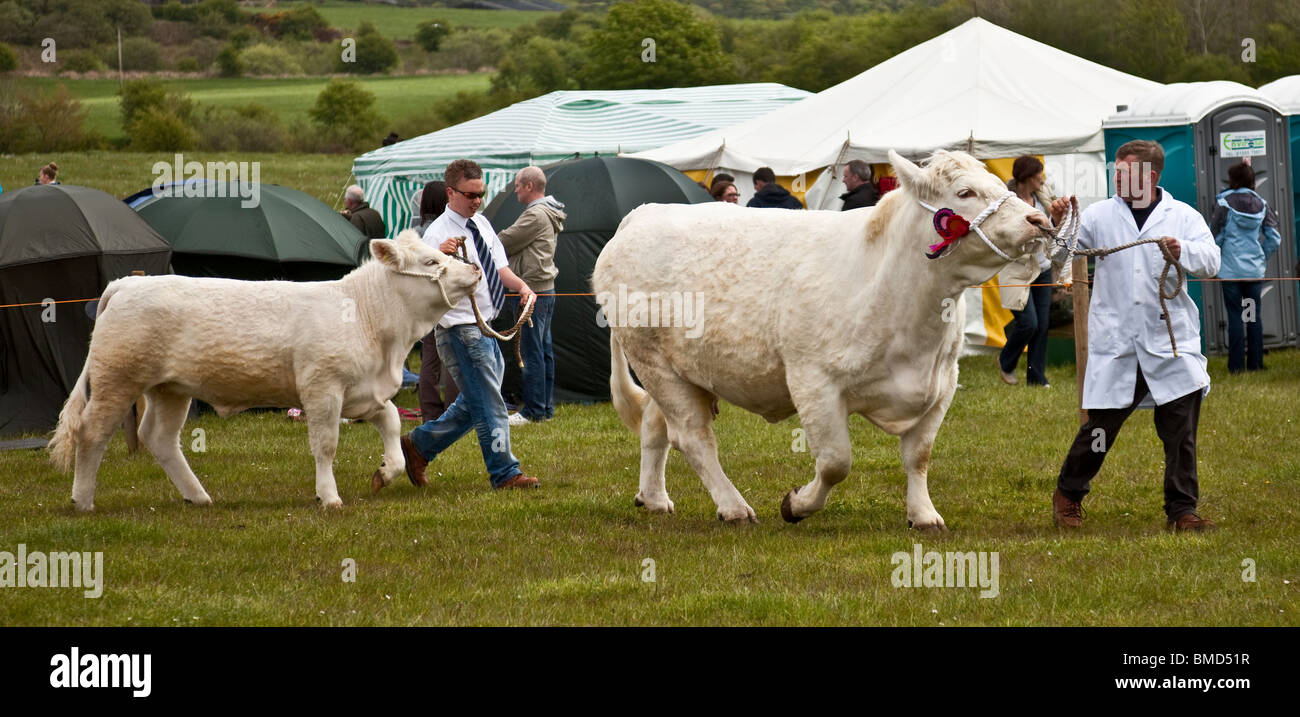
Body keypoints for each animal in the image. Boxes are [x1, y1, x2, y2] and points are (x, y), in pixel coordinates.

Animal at [48, 230, 482, 511]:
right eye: (431, 261)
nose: (476, 270)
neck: (366, 317)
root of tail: (126, 284)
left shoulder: (363, 390)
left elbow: (391, 421)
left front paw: (387, 472)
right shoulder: (322, 388)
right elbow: (326, 445)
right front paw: (329, 497)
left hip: (170, 389)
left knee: (159, 437)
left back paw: (198, 496)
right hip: (117, 380)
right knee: (92, 433)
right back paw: (83, 501)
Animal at [593, 149, 1054, 528]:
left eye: (1000, 183)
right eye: (964, 192)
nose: (1039, 221)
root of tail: (643, 214)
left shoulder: (942, 383)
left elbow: (919, 455)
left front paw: (923, 514)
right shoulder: (813, 382)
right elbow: (835, 461)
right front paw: (797, 504)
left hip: (678, 370)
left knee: (655, 425)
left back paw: (654, 498)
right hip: (653, 361)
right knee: (693, 437)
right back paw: (734, 507)